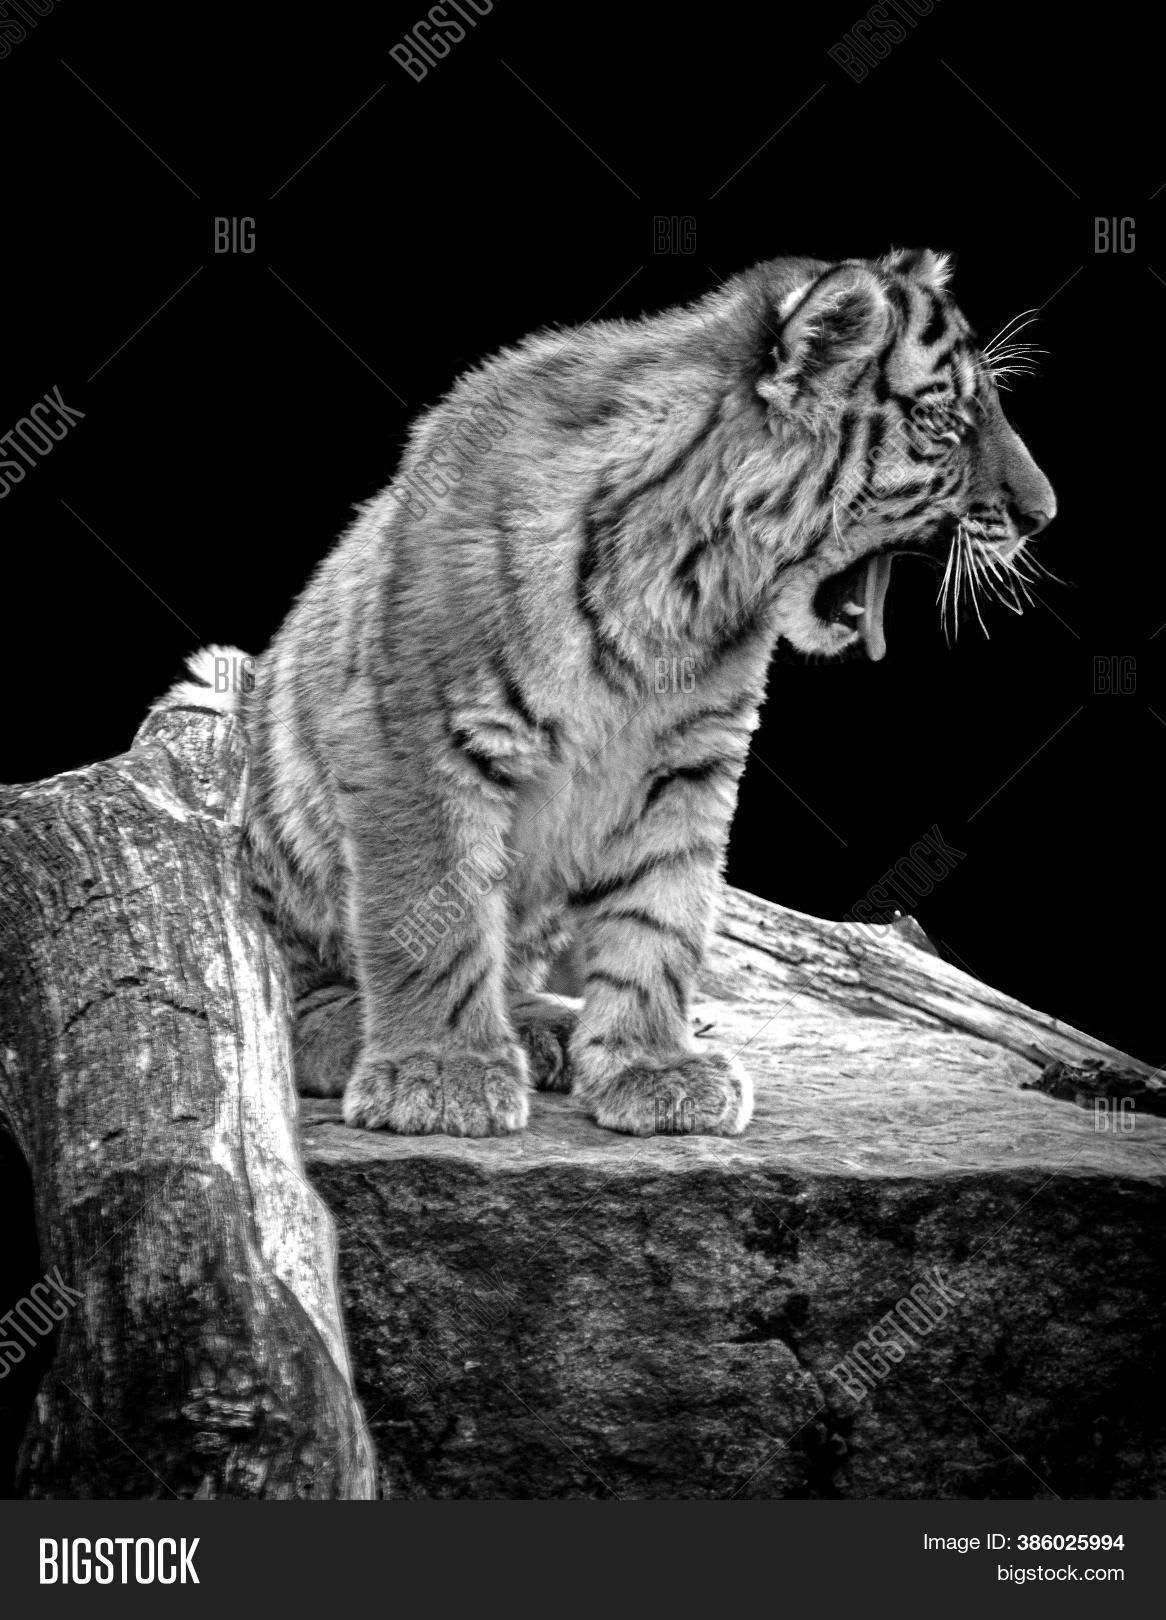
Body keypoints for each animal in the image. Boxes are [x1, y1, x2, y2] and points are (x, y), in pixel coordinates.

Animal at [160, 247, 1055, 1138]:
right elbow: (432, 913)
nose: (1043, 514)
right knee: (294, 998)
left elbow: (661, 917)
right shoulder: (411, 737)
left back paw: (545, 1026)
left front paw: (654, 1070)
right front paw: (440, 1074)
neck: (693, 585)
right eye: (945, 423)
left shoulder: (690, 760)